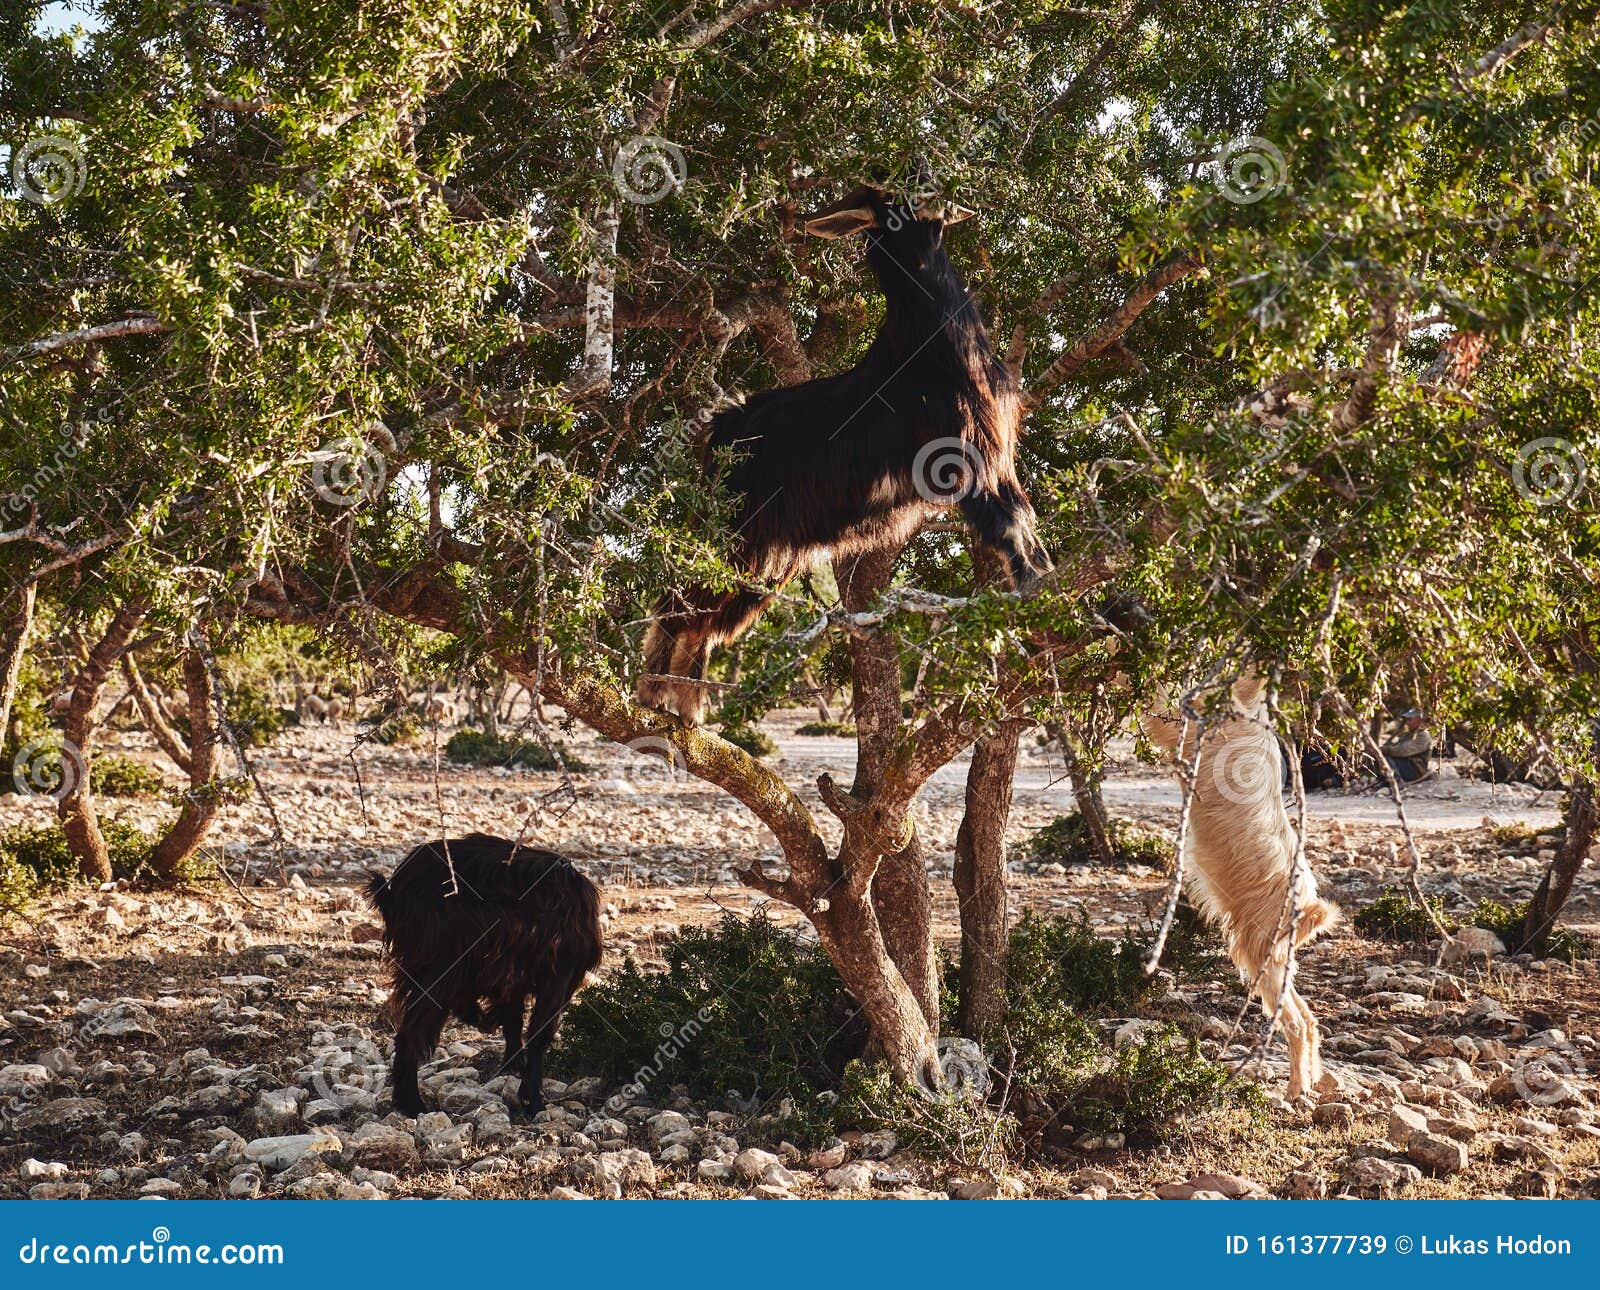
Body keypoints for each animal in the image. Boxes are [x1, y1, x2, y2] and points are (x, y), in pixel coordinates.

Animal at [367, 834, 603, 1116]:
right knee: (412, 1032)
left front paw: (513, 1065)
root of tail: (396, 889)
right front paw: (532, 1098)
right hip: (440, 967)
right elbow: (539, 1032)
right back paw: (412, 1103)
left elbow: (513, 1021)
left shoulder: (512, 978)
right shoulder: (557, 976)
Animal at [639, 185, 1053, 725]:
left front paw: (1059, 584)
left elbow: (1027, 525)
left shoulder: (1000, 460)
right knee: (679, 597)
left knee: (708, 615)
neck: (936, 350)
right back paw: (653, 694)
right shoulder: (961, 462)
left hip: (768, 553)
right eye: (893, 202)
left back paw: (687, 707)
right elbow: (1008, 529)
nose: (937, 197)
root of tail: (723, 428)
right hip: (735, 529)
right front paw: (1035, 594)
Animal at [1139, 678, 1339, 1100]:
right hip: (1272, 959)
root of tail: (1310, 909)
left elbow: (1160, 702)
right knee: (1309, 1018)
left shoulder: (1181, 726)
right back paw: (1311, 1080)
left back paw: (1295, 1090)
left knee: (1295, 1023)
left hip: (1257, 952)